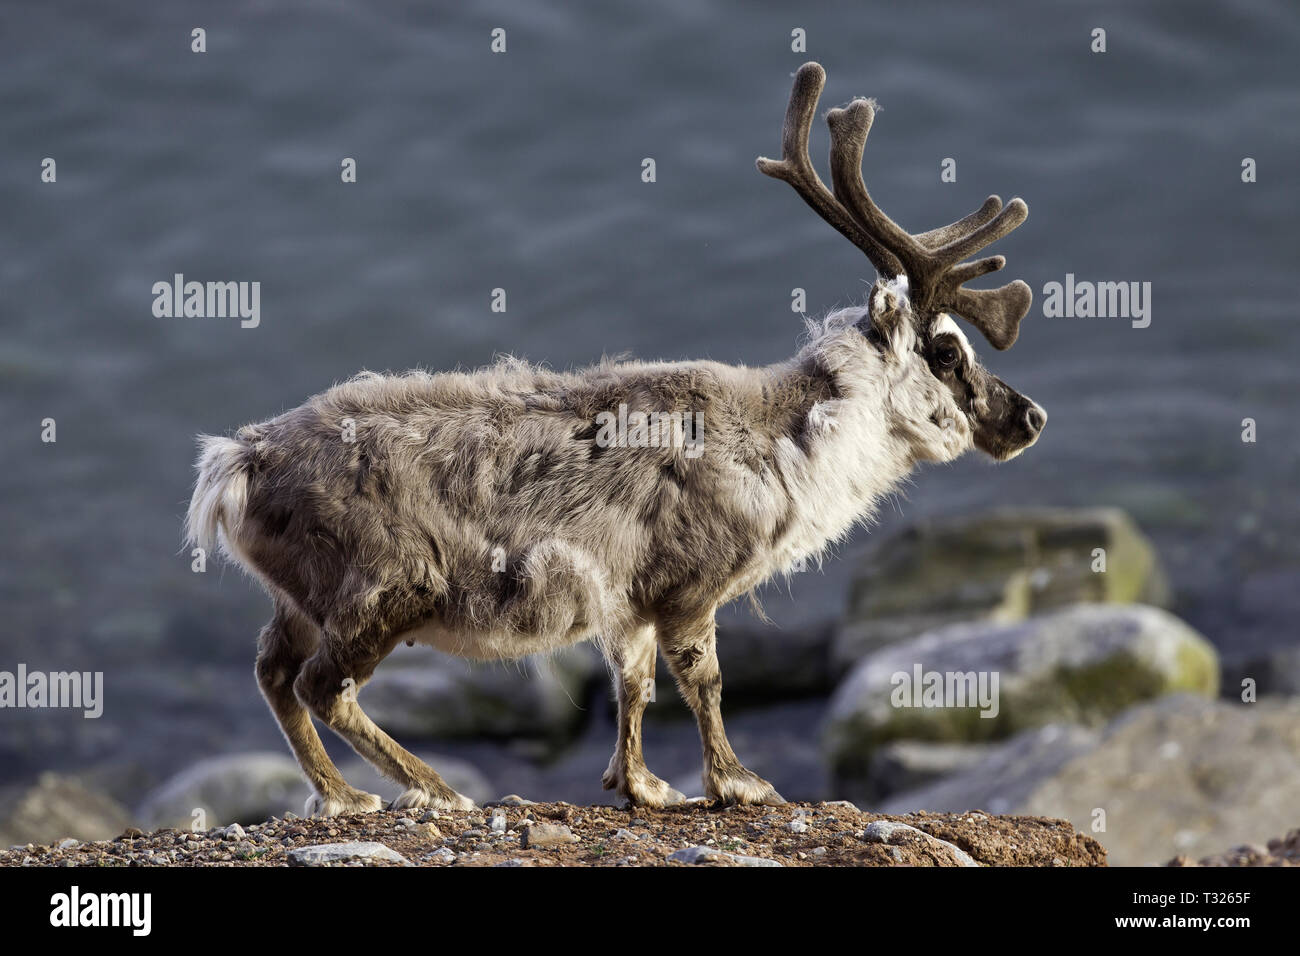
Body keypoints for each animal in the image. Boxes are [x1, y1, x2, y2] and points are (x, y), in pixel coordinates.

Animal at [185, 62, 1045, 815]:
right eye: (947, 351)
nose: (1029, 418)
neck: (794, 445)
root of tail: (239, 461)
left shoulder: (626, 603)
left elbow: (633, 685)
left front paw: (643, 786)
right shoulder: (688, 588)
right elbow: (702, 682)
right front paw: (738, 783)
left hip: (298, 598)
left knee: (272, 672)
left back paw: (345, 795)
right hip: (386, 588)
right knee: (321, 686)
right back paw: (431, 789)